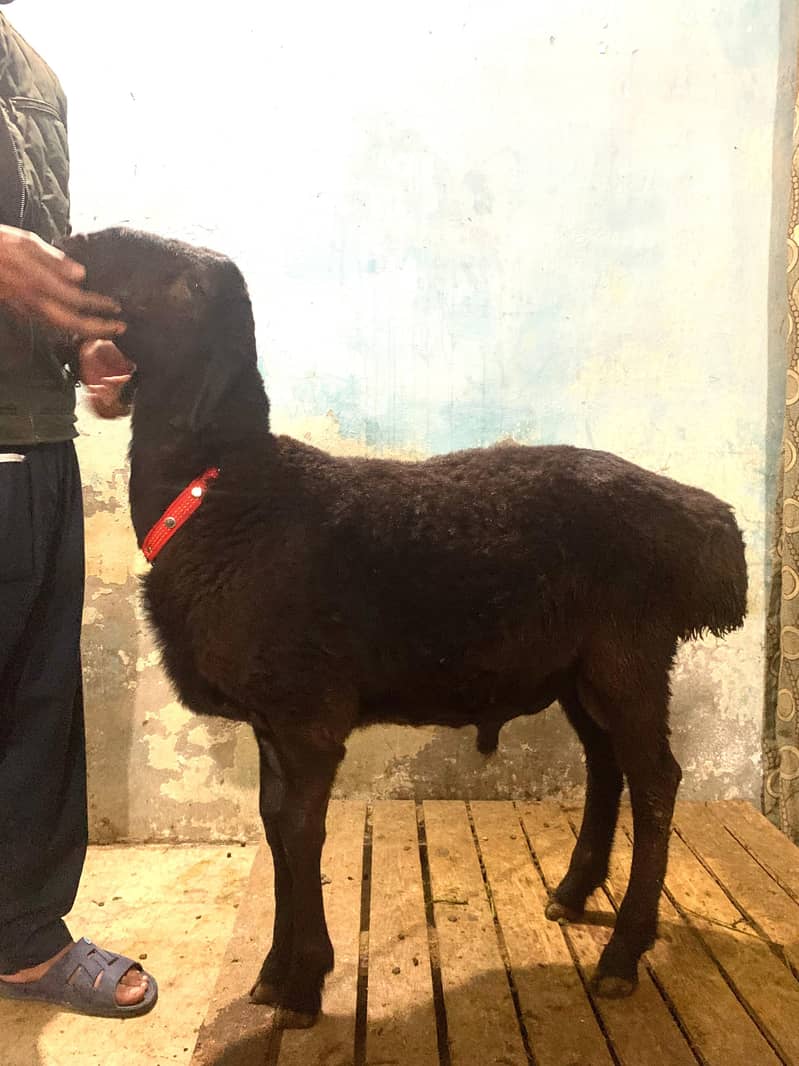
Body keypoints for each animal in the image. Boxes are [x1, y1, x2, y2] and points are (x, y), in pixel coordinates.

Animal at [62, 227, 747, 1028]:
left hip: (629, 651)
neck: (227, 492)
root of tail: (703, 519)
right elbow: (273, 825)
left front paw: (303, 983)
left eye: (172, 275)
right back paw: (573, 894)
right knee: (608, 767)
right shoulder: (271, 719)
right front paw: (274, 973)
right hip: (579, 668)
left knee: (657, 780)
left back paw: (622, 954)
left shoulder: (308, 713)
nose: (76, 240)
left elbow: (300, 832)